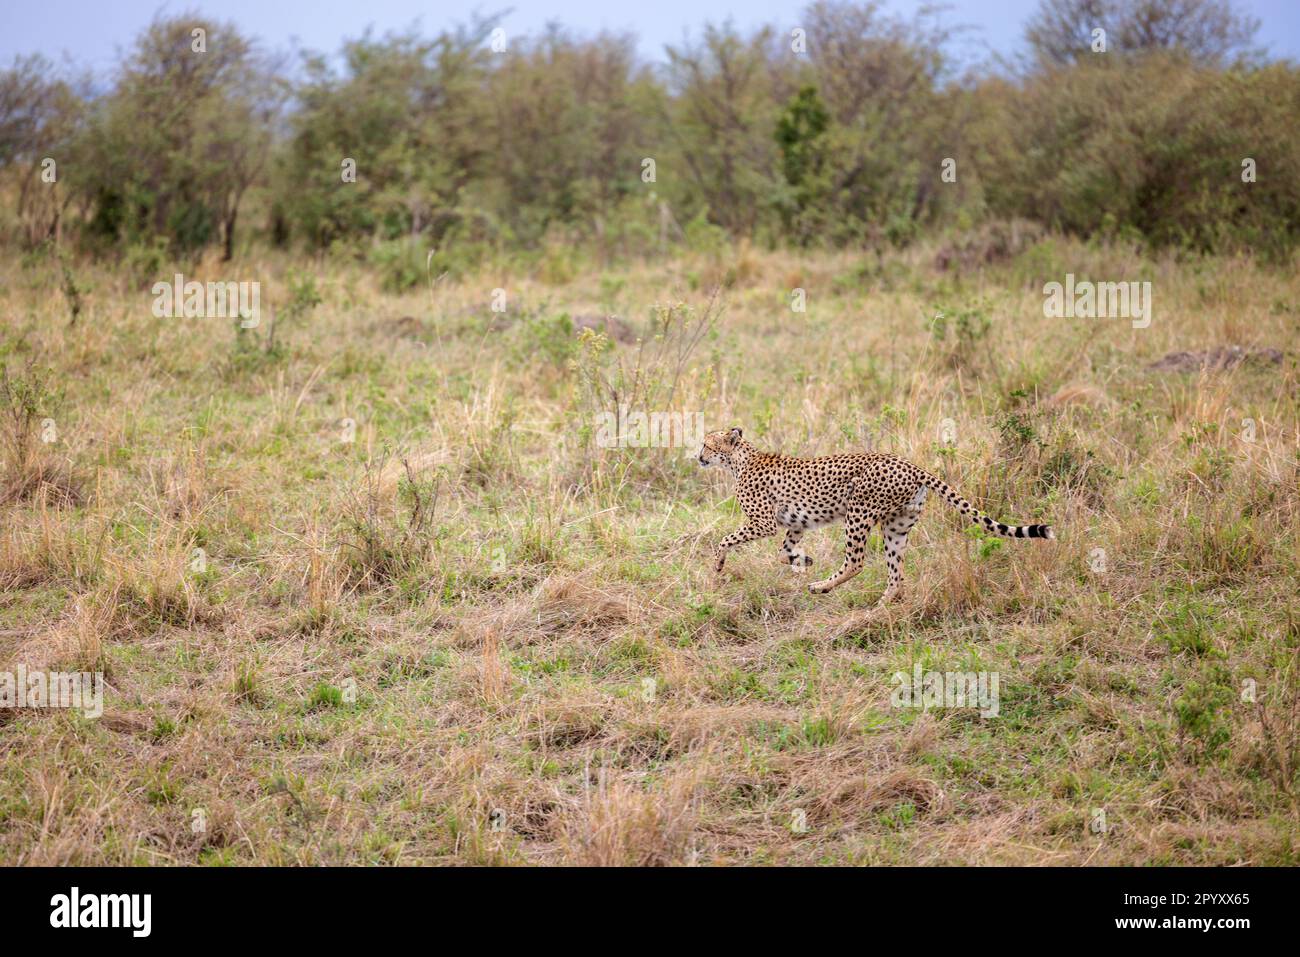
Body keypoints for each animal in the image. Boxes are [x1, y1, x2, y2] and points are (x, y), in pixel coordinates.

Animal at [698, 427, 1054, 601]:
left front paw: (717, 565)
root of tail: (910, 464)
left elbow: (725, 540)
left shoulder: (763, 523)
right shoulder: (795, 523)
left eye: (706, 444)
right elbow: (783, 552)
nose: (697, 456)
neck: (739, 459)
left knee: (856, 561)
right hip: (896, 526)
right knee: (895, 574)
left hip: (858, 512)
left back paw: (822, 587)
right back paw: (880, 609)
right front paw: (803, 559)